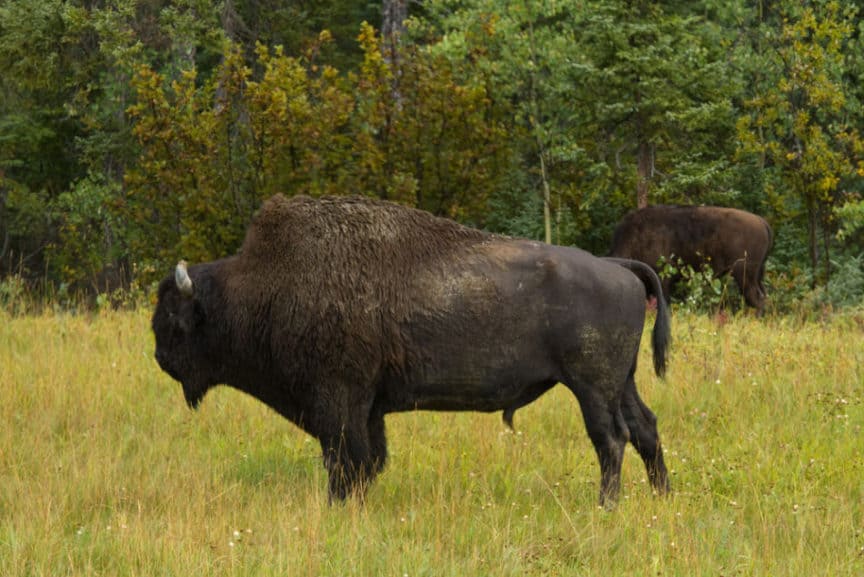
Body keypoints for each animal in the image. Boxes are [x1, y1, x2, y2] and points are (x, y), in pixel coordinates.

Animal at [152, 194, 671, 505]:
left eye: (174, 319)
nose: (159, 357)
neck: (262, 287)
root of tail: (618, 266)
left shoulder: (339, 401)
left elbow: (345, 459)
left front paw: (338, 504)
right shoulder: (369, 407)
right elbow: (369, 460)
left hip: (591, 387)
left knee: (611, 438)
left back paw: (607, 505)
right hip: (621, 383)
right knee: (645, 429)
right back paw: (661, 497)